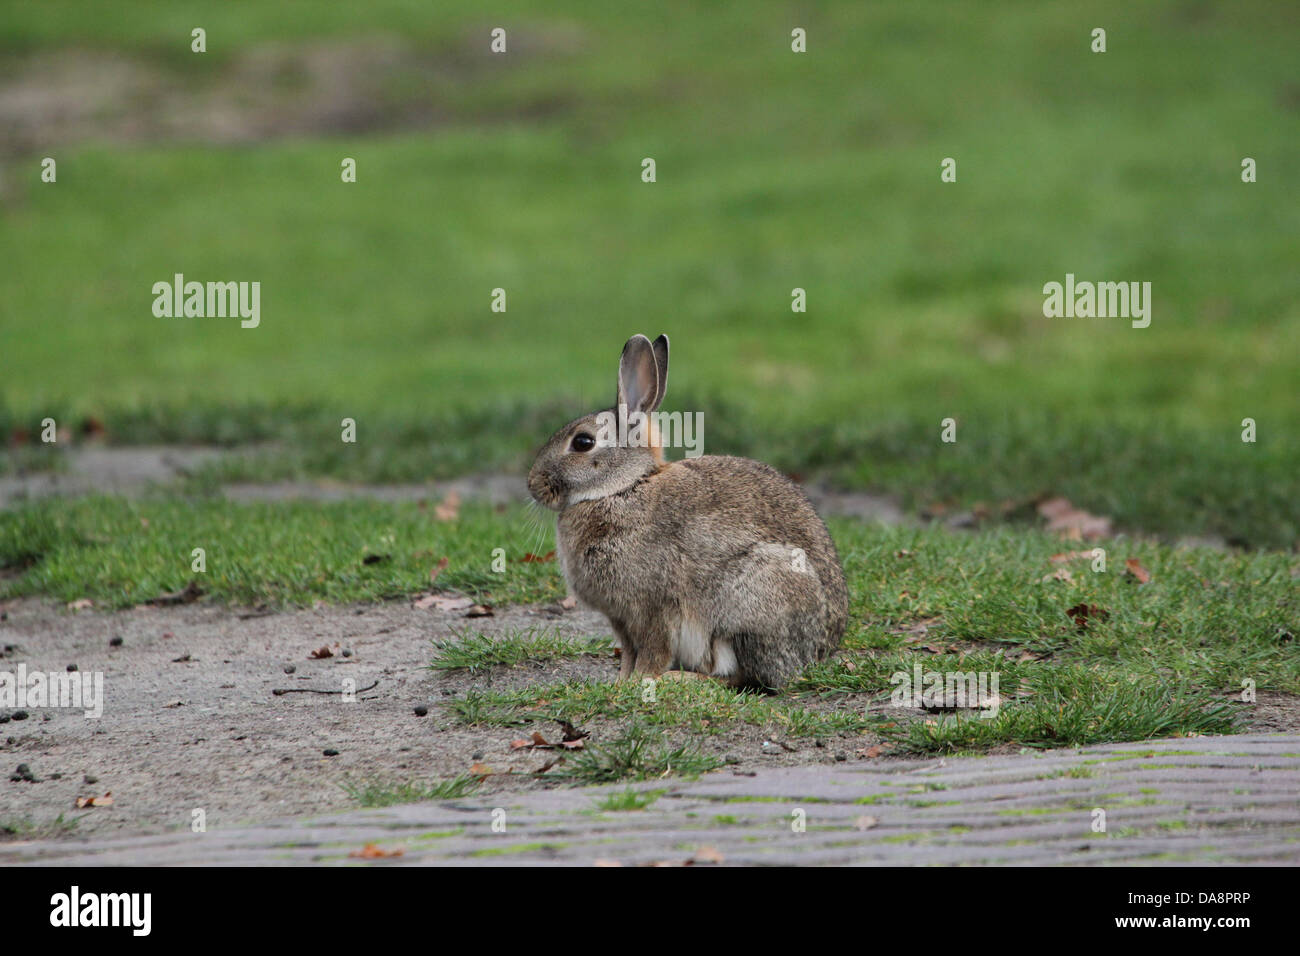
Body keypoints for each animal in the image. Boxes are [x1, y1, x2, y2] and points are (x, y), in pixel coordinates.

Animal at [527, 333, 848, 690]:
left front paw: (642, 681)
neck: (623, 488)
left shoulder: (655, 607)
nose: (533, 484)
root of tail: (818, 652)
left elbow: (653, 650)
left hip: (750, 601)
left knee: (741, 676)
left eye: (583, 442)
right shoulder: (621, 620)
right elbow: (628, 652)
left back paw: (677, 679)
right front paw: (621, 683)